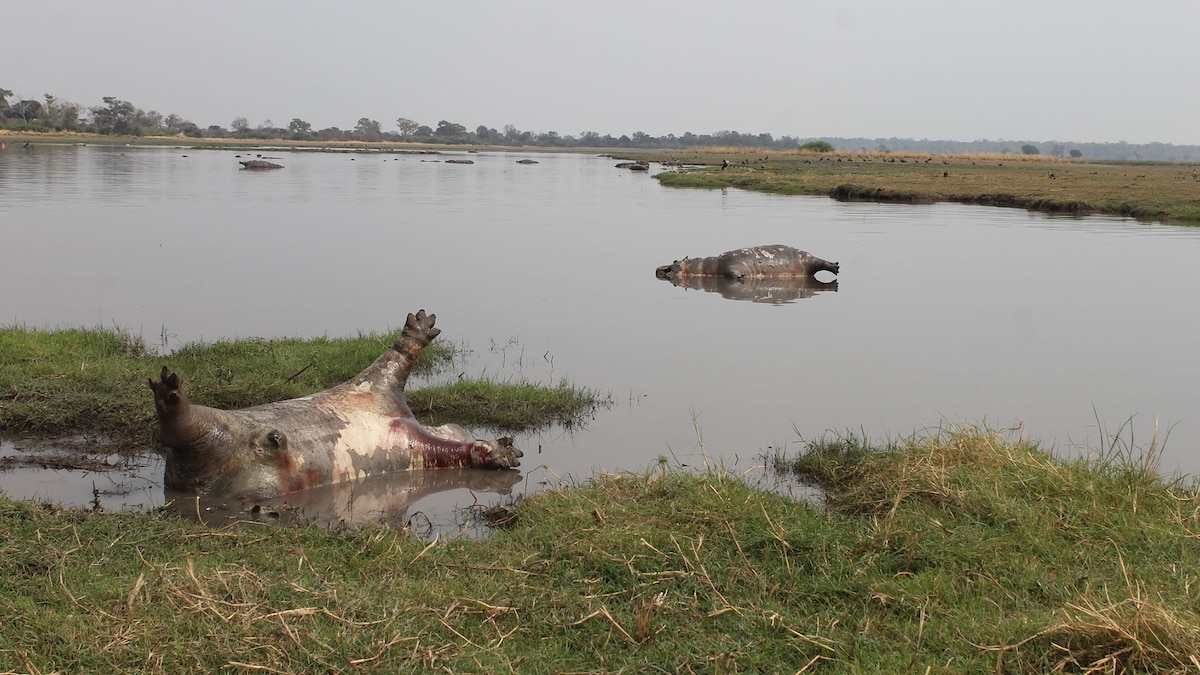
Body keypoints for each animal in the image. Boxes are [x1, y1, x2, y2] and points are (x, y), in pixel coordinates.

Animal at [149, 310, 521, 501]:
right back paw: (170, 392)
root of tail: (193, 480)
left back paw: (170, 399)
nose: (512, 446)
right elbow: (394, 361)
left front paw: (500, 454)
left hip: (230, 457)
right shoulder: (377, 387)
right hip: (222, 424)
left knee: (185, 435)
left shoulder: (414, 441)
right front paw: (418, 327)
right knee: (192, 429)